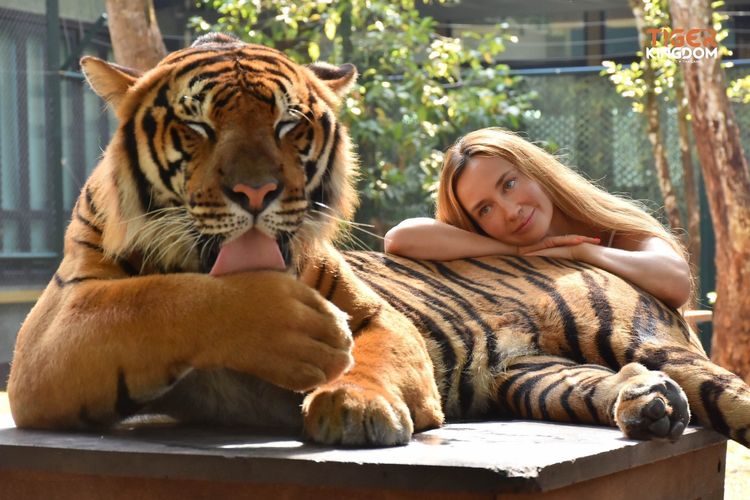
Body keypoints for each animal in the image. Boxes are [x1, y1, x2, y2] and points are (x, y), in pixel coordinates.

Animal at [7, 33, 750, 448]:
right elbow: (159, 301)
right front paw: (289, 329)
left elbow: (368, 351)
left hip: (630, 335)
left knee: (722, 390)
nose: (257, 195)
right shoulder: (49, 339)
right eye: (196, 128)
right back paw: (649, 403)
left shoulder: (382, 316)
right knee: (599, 382)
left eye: (289, 125)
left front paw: (355, 402)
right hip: (533, 376)